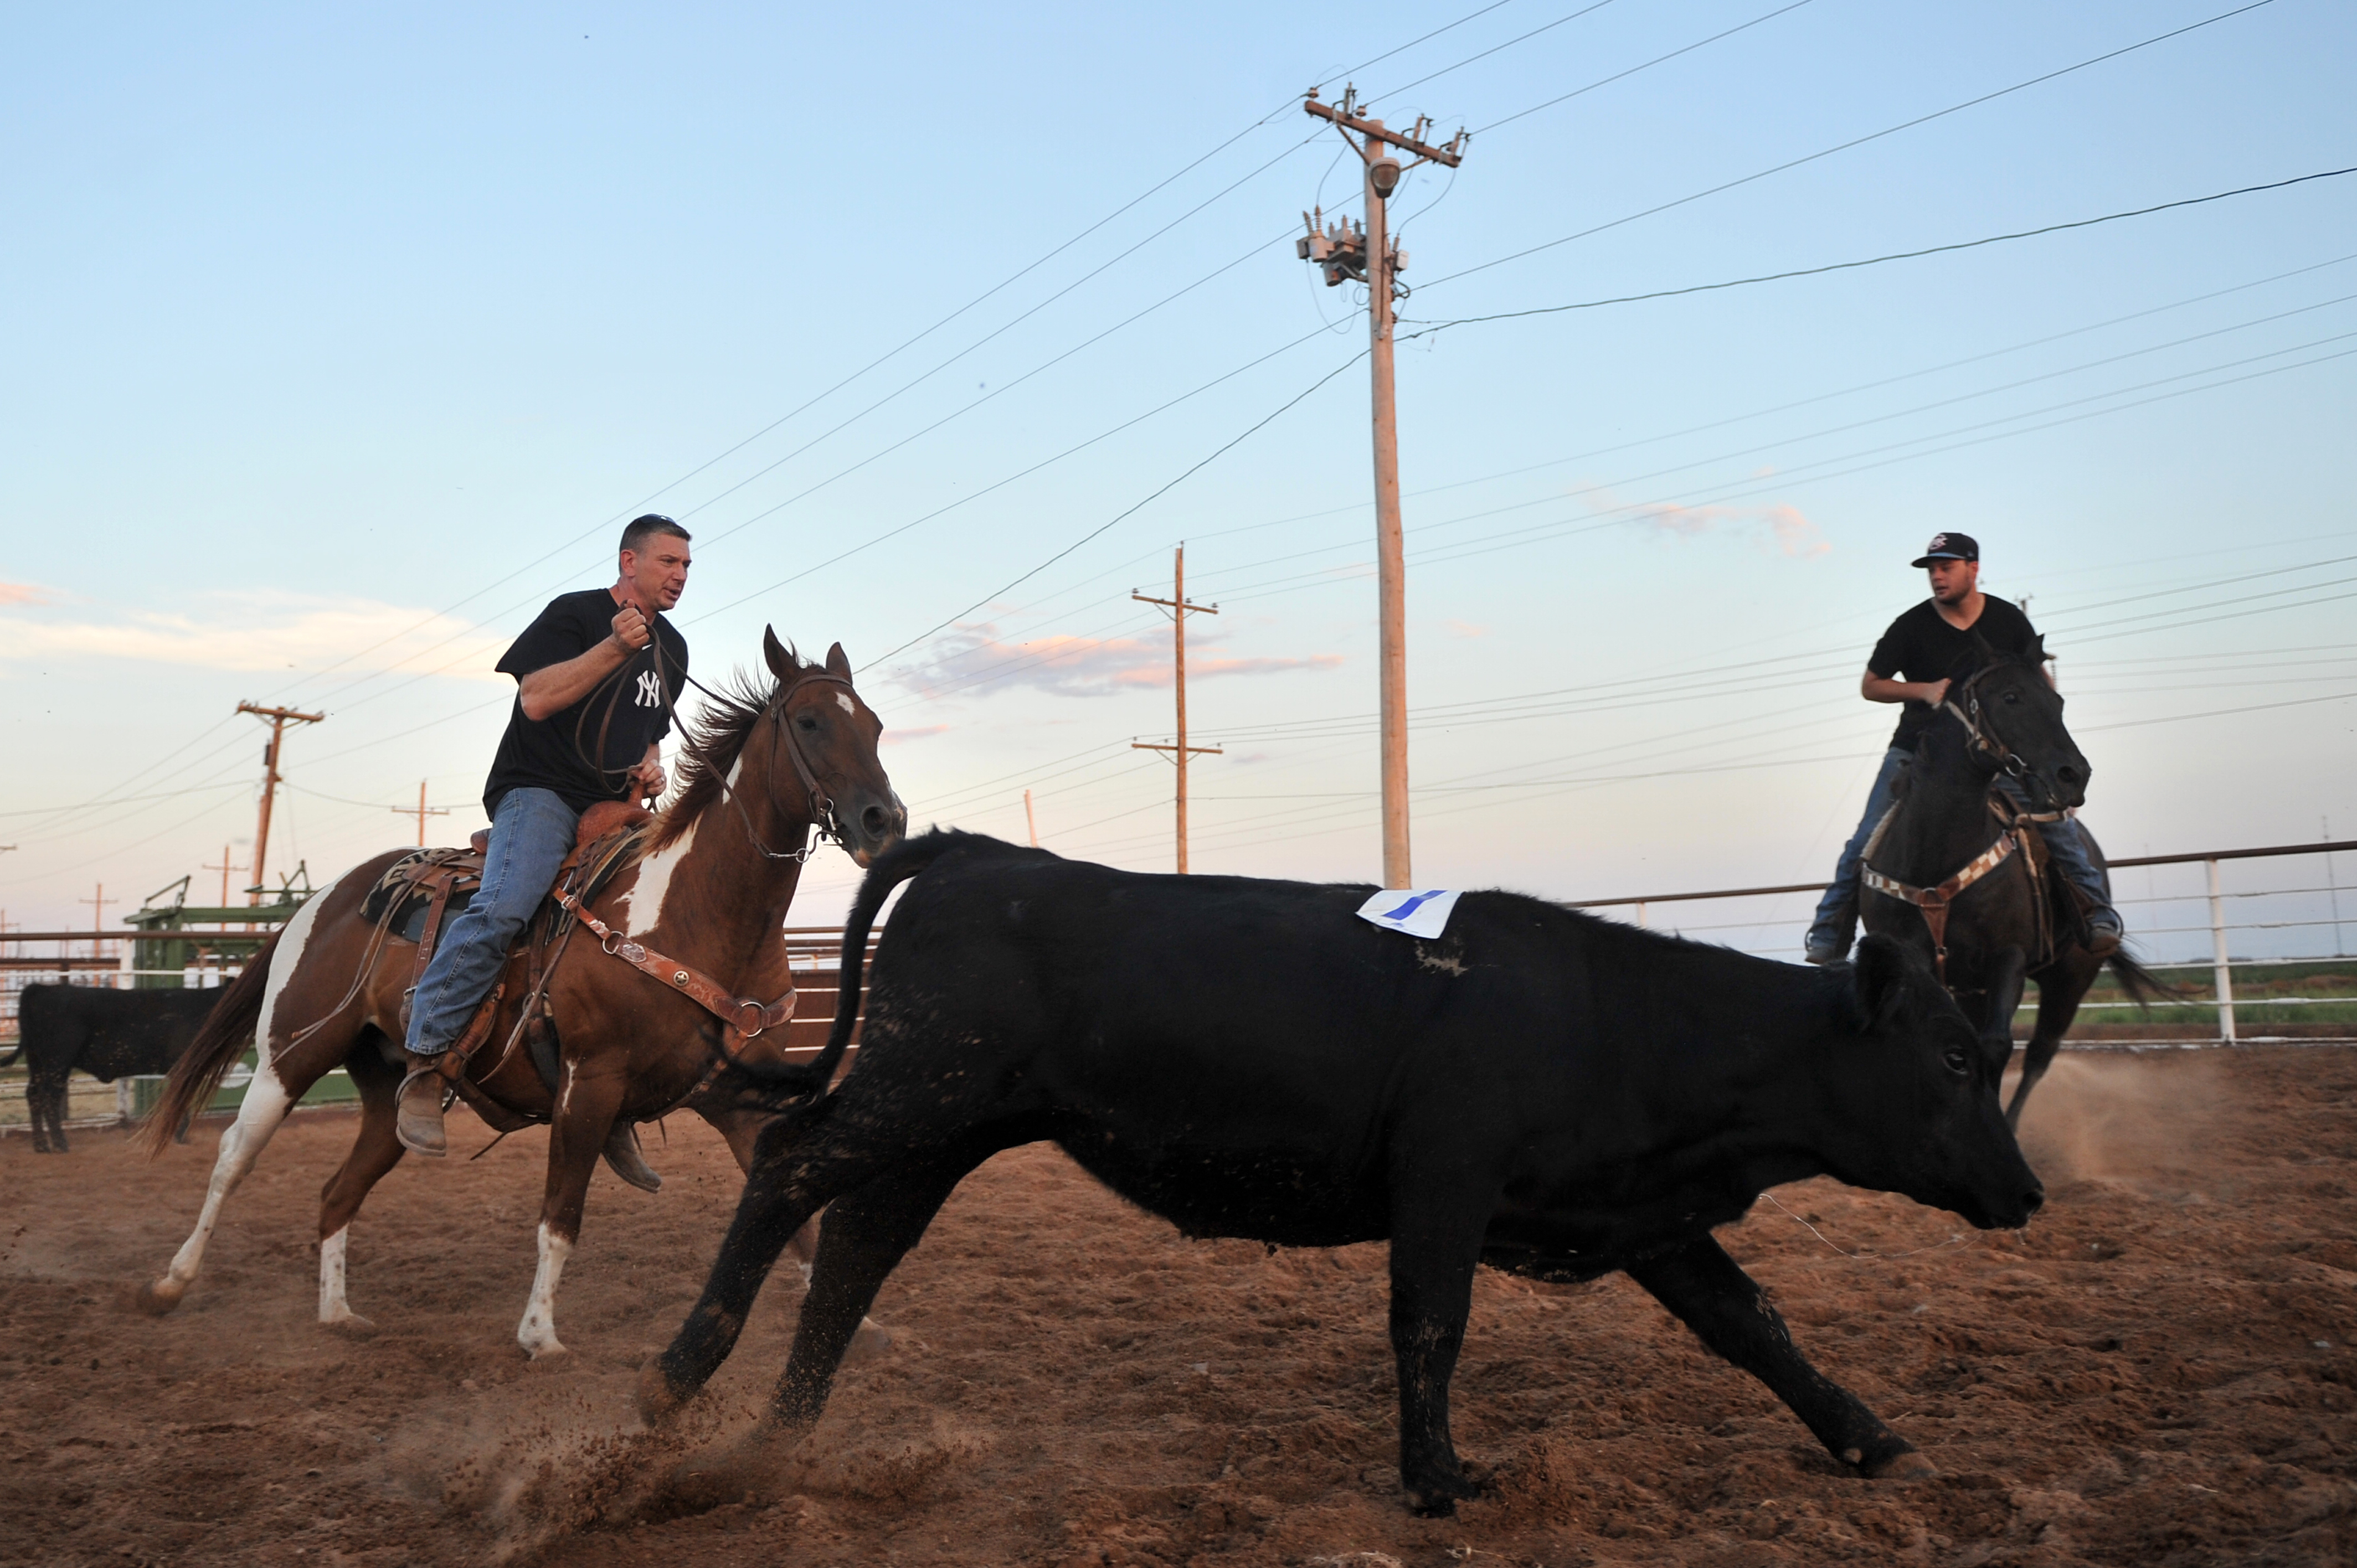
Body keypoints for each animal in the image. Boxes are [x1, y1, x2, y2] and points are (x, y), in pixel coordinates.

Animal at [6, 983, 229, 1153]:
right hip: (58, 1061)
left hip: (37, 1062)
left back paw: (41, 1145)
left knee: (34, 1094)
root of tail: (41, 988)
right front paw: (181, 1136)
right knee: (49, 1096)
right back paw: (60, 1144)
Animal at [638, 831, 2044, 1516]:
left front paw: (1873, 1439)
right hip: (914, 1091)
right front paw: (1437, 1480)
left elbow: (1752, 1321)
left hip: (948, 1122)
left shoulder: (1638, 1211)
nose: (2027, 1193)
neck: (1614, 1014)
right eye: (1954, 1057)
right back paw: (676, 1379)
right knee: (787, 1168)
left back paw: (780, 1440)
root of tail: (987, 858)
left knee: (857, 1248)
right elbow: (1430, 1321)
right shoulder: (1446, 1180)